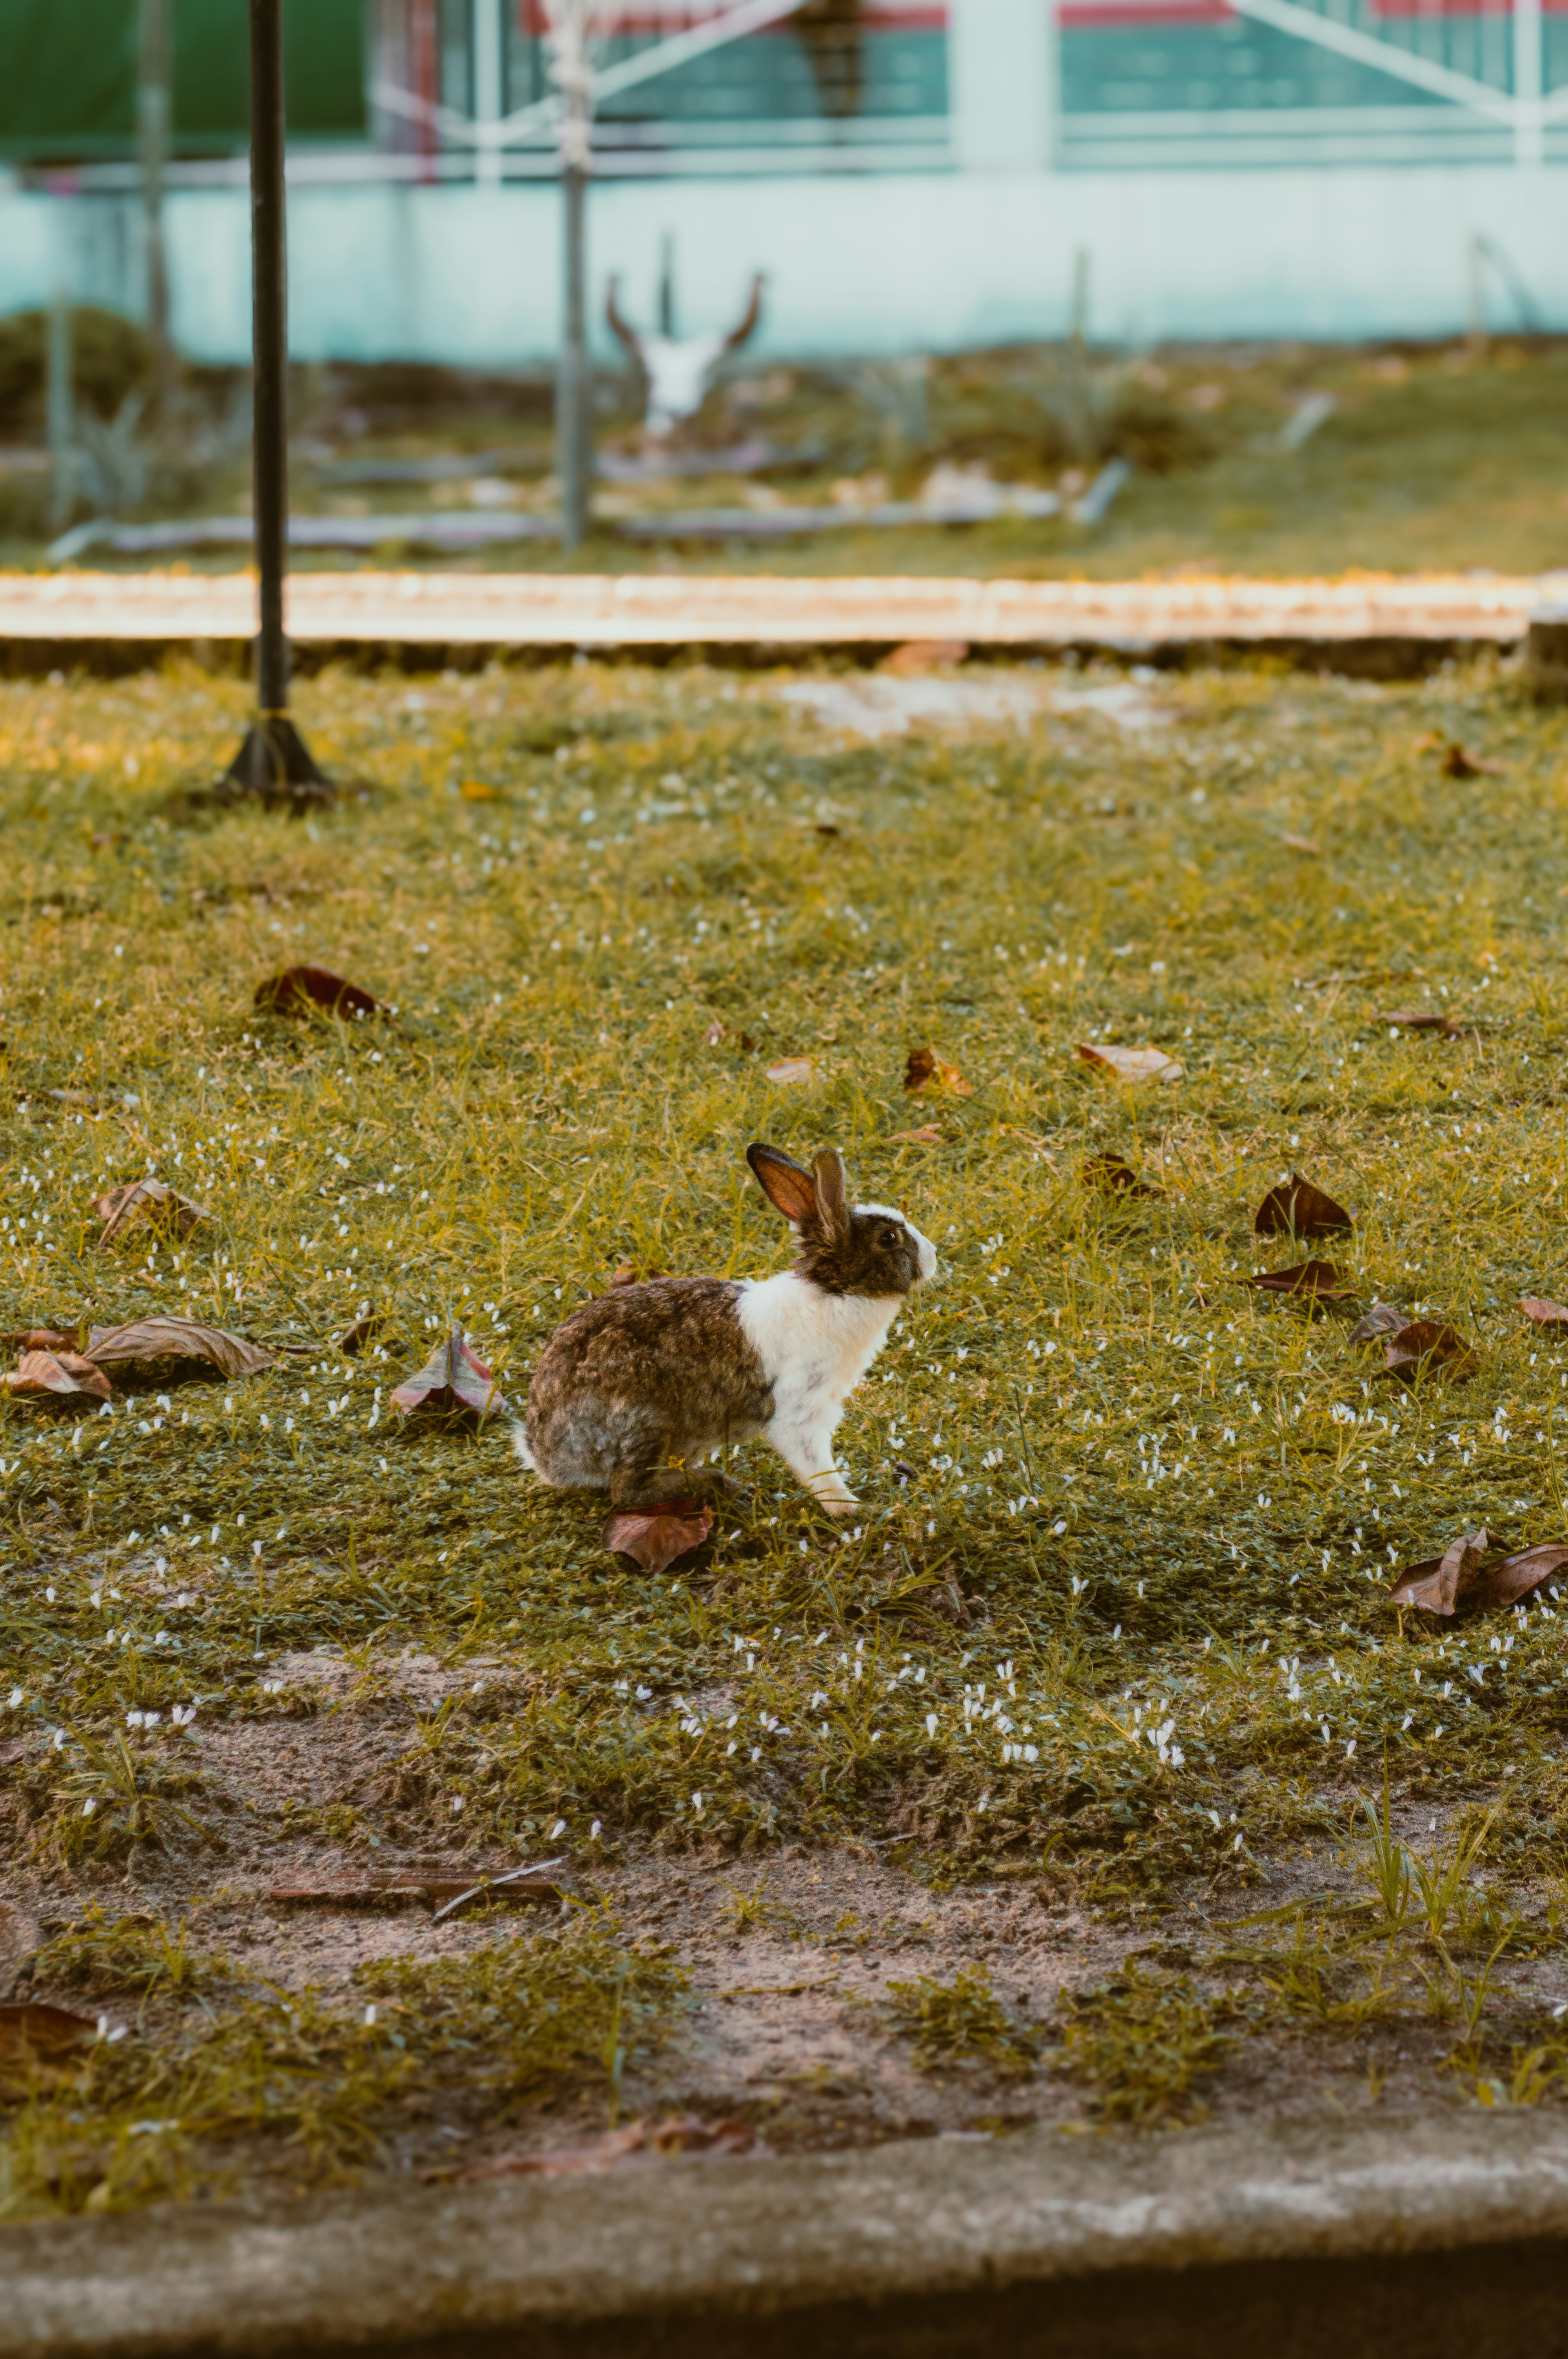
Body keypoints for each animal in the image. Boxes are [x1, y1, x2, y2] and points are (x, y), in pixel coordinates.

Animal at [515, 1141, 936, 1516]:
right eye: (889, 1239)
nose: (934, 1255)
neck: (837, 1291)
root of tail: (546, 1455)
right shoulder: (801, 1412)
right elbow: (818, 1469)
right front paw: (854, 1511)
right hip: (646, 1419)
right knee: (627, 1491)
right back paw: (719, 1484)